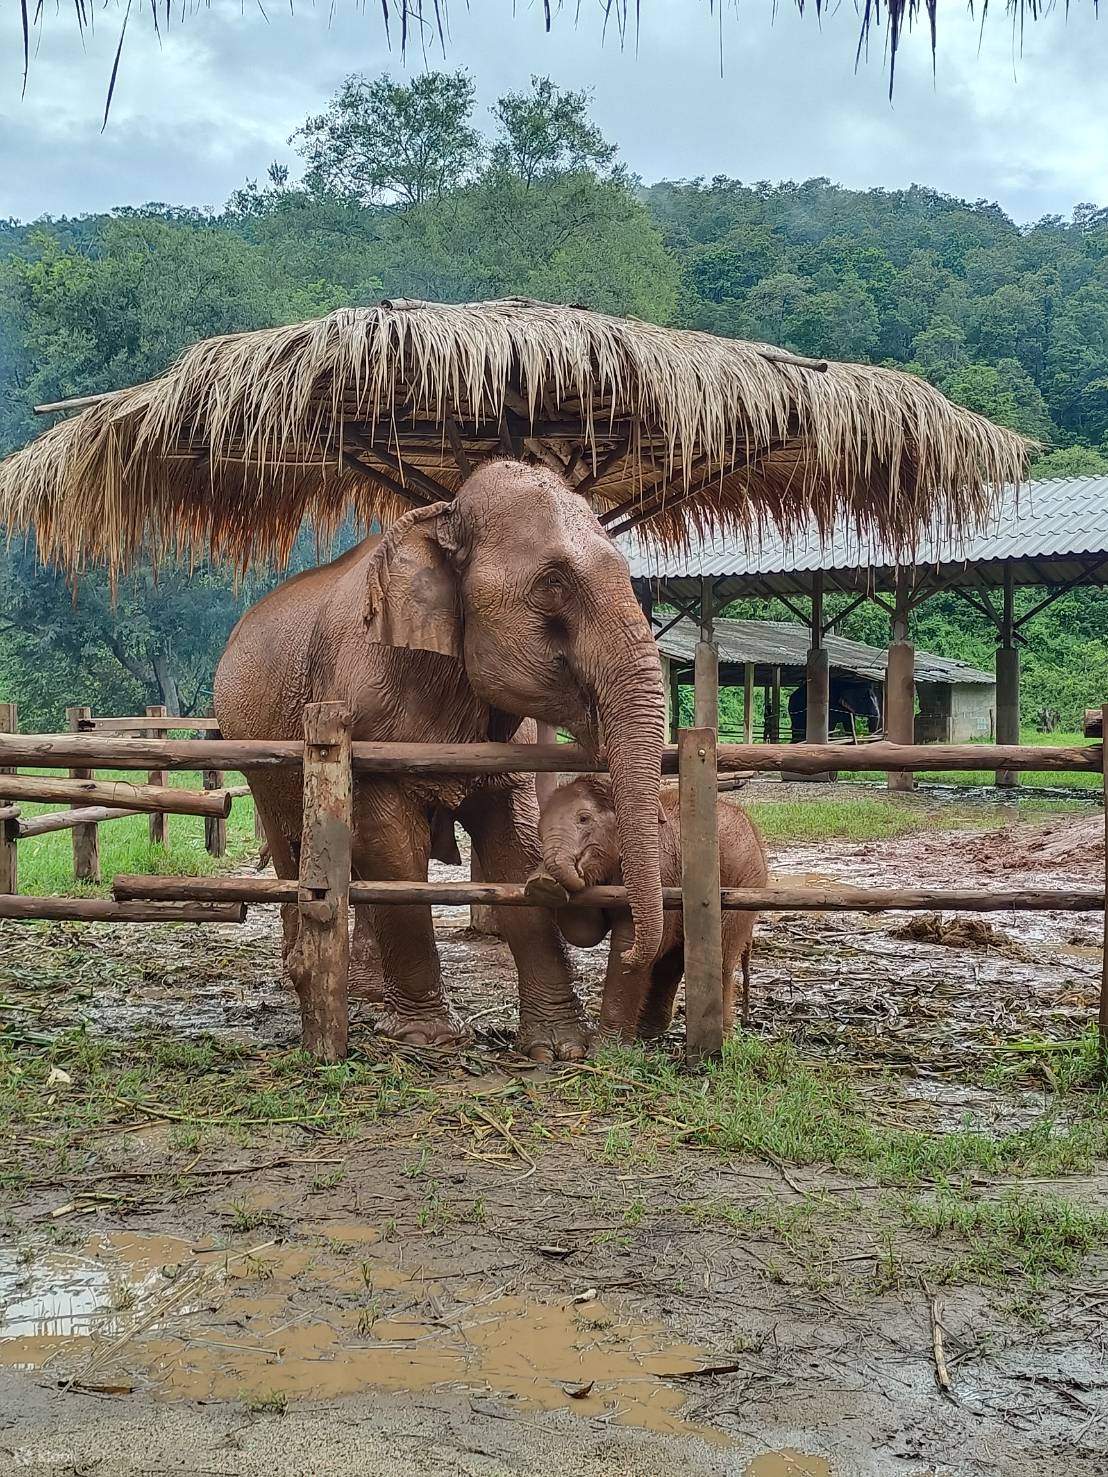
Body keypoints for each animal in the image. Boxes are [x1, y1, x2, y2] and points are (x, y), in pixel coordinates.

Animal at [213, 460, 667, 1060]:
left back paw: (366, 991)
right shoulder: (363, 706)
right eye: (553, 584)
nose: (634, 948)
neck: (443, 517)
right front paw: (427, 1039)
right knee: (292, 845)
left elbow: (513, 843)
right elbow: (393, 849)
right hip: (257, 750)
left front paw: (557, 1048)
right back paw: (305, 976)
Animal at [534, 776, 768, 1040]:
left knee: (722, 956)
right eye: (539, 828)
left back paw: (723, 1036)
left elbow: (629, 939)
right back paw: (648, 1031)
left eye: (584, 819)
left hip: (745, 881)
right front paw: (543, 885)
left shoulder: (661, 874)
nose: (541, 878)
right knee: (673, 958)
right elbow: (584, 931)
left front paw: (604, 1046)